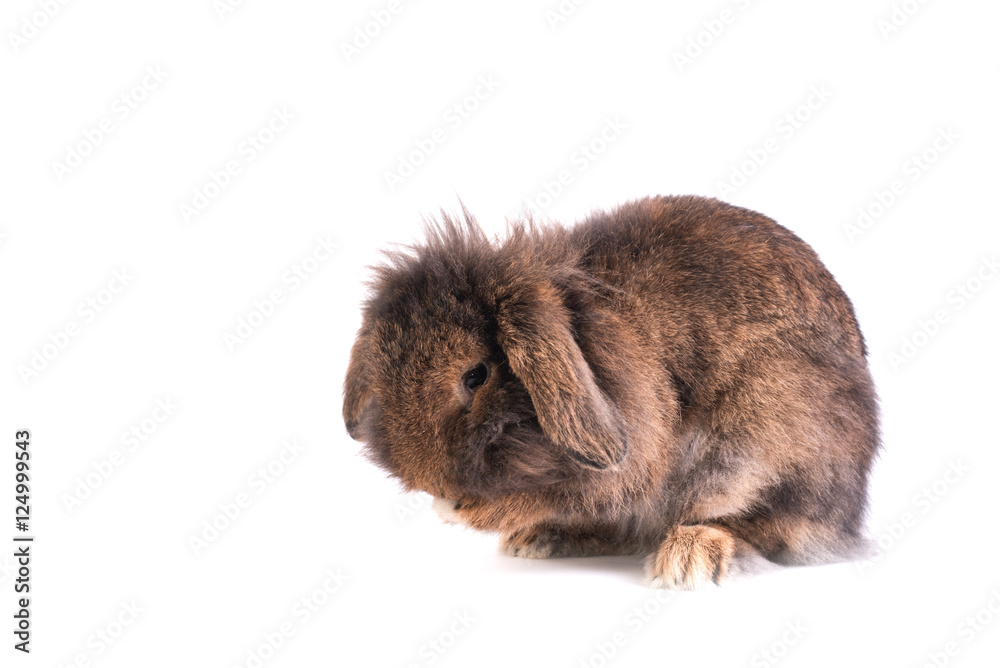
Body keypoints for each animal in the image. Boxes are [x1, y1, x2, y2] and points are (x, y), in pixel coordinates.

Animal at [343, 195, 880, 589]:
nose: (429, 479)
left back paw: (692, 557)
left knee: (780, 527)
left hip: (769, 438)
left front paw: (459, 511)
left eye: (476, 375)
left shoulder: (630, 457)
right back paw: (538, 540)